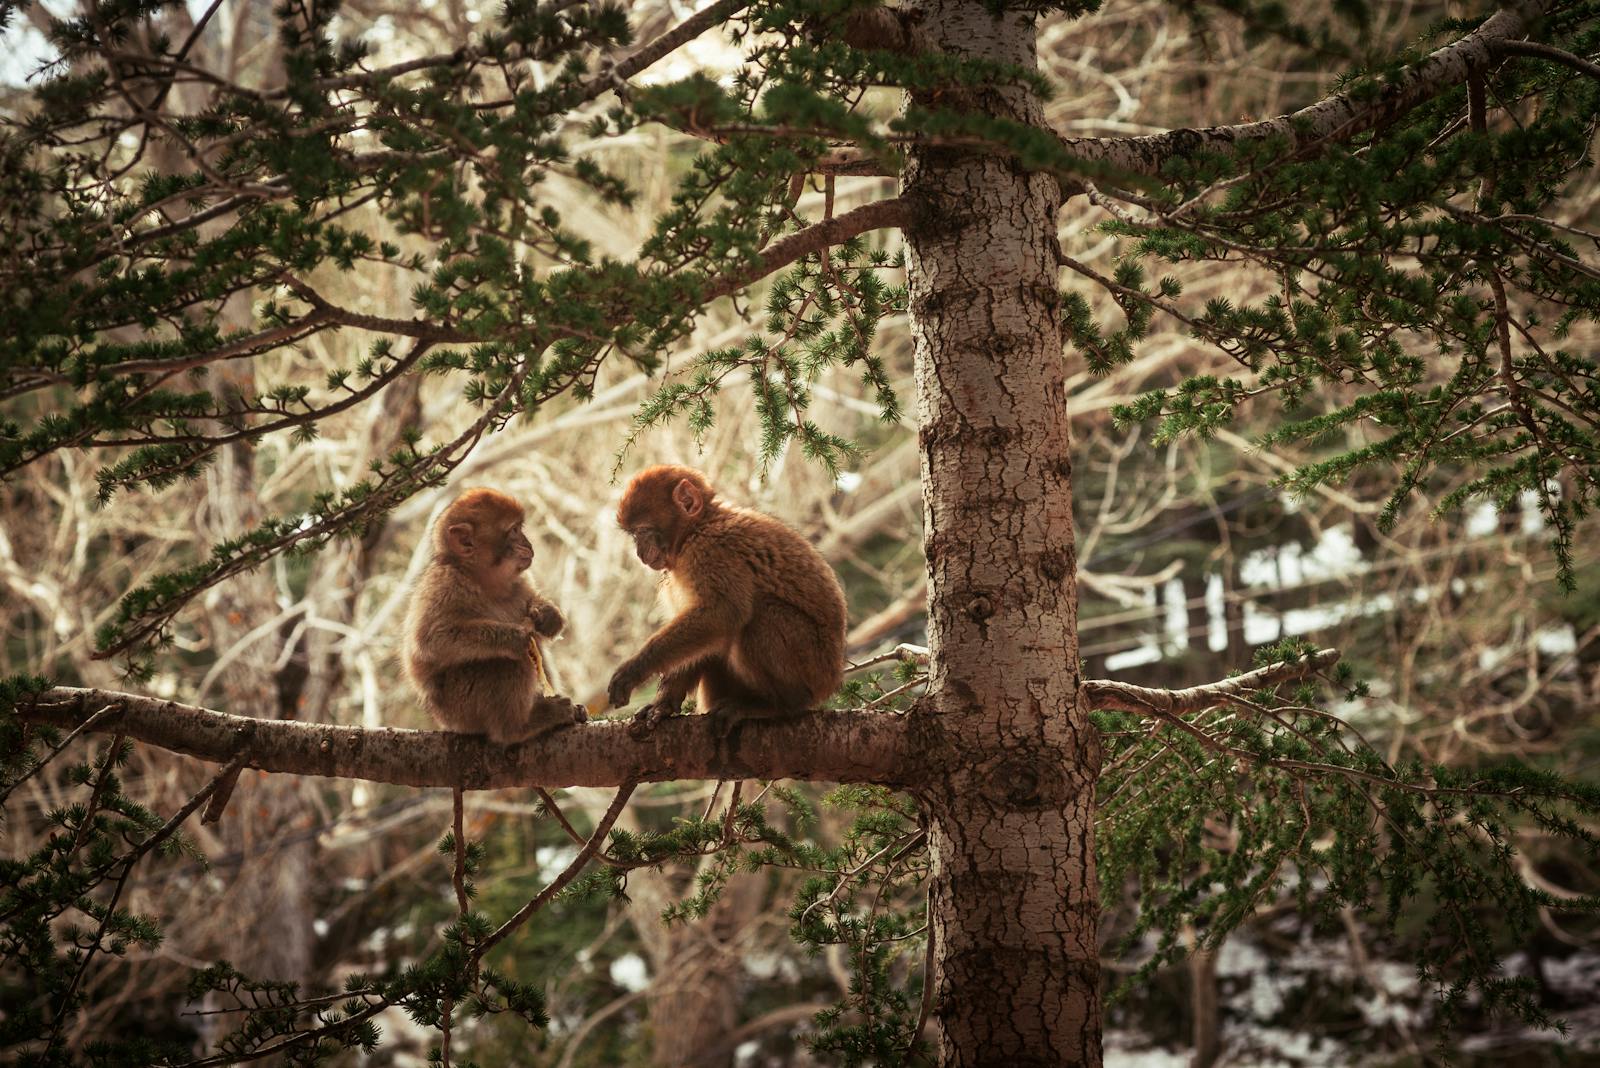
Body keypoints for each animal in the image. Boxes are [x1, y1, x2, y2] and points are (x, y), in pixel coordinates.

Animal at [402, 487, 586, 743]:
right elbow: (431, 641)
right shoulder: (445, 585)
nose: (528, 544)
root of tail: (445, 721)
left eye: (520, 528)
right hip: (461, 708)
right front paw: (515, 637)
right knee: (508, 661)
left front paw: (548, 616)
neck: (484, 582)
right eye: (514, 531)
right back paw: (518, 727)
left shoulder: (522, 582)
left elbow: (538, 620)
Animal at [606, 465, 848, 736]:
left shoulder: (712, 549)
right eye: (635, 535)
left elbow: (724, 613)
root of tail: (832, 676)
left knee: (758, 616)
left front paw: (636, 668)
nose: (639, 553)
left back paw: (781, 704)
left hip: (811, 663)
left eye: (642, 531)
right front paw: (664, 704)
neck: (699, 527)